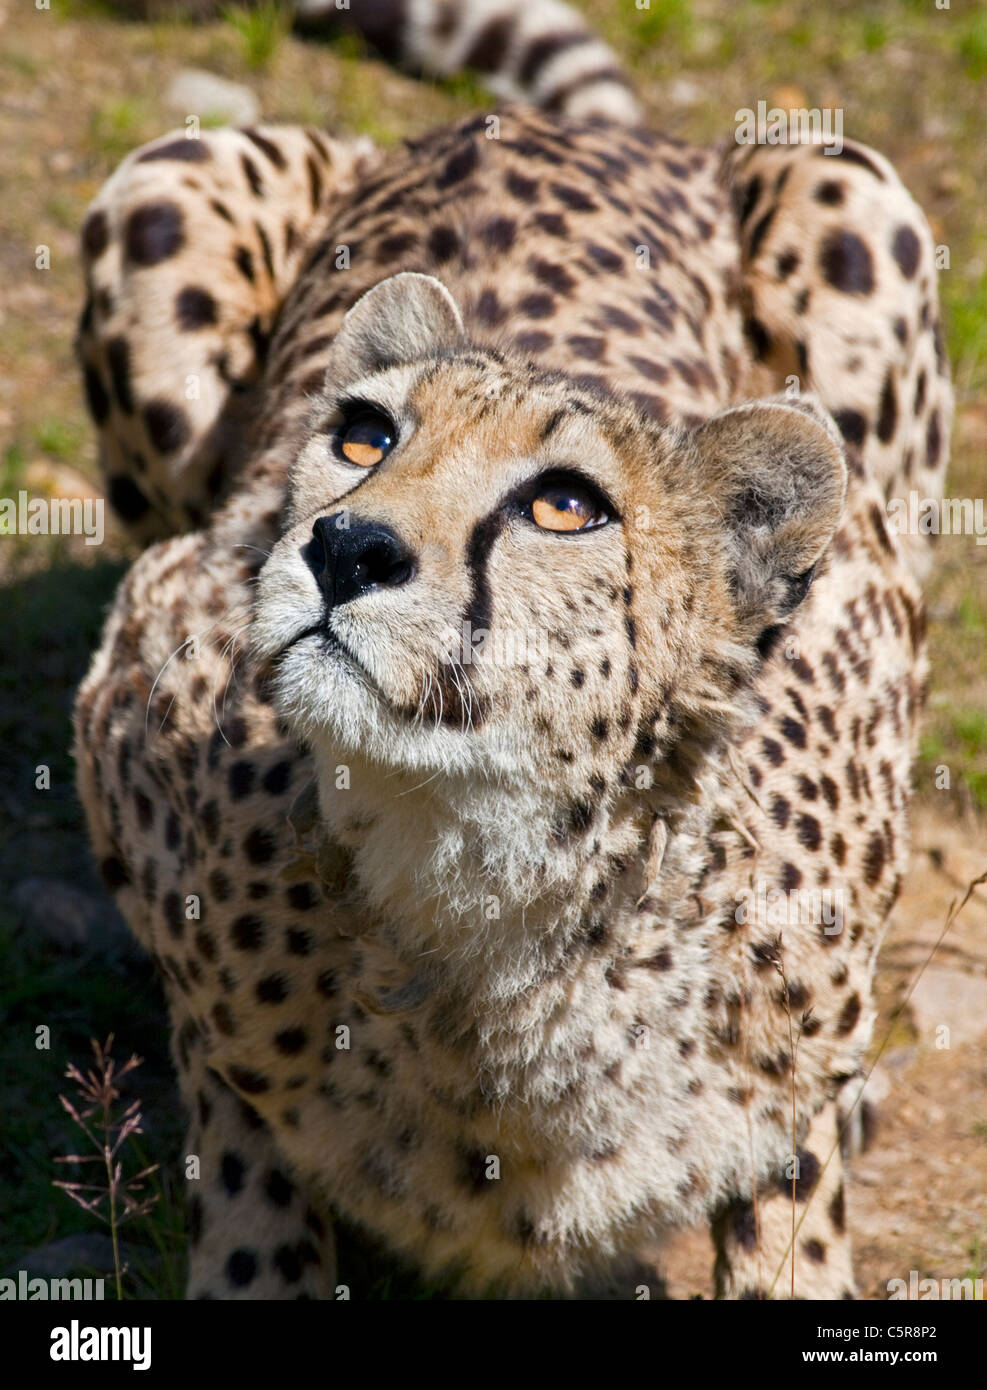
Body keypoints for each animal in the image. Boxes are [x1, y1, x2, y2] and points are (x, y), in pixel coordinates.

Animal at [72, 0, 952, 1299]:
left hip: (853, 196)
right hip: (162, 200)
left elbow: (790, 1194)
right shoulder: (146, 684)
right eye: (363, 434)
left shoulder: (869, 636)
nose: (346, 548)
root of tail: (533, 126)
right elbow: (239, 1136)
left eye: (565, 505)